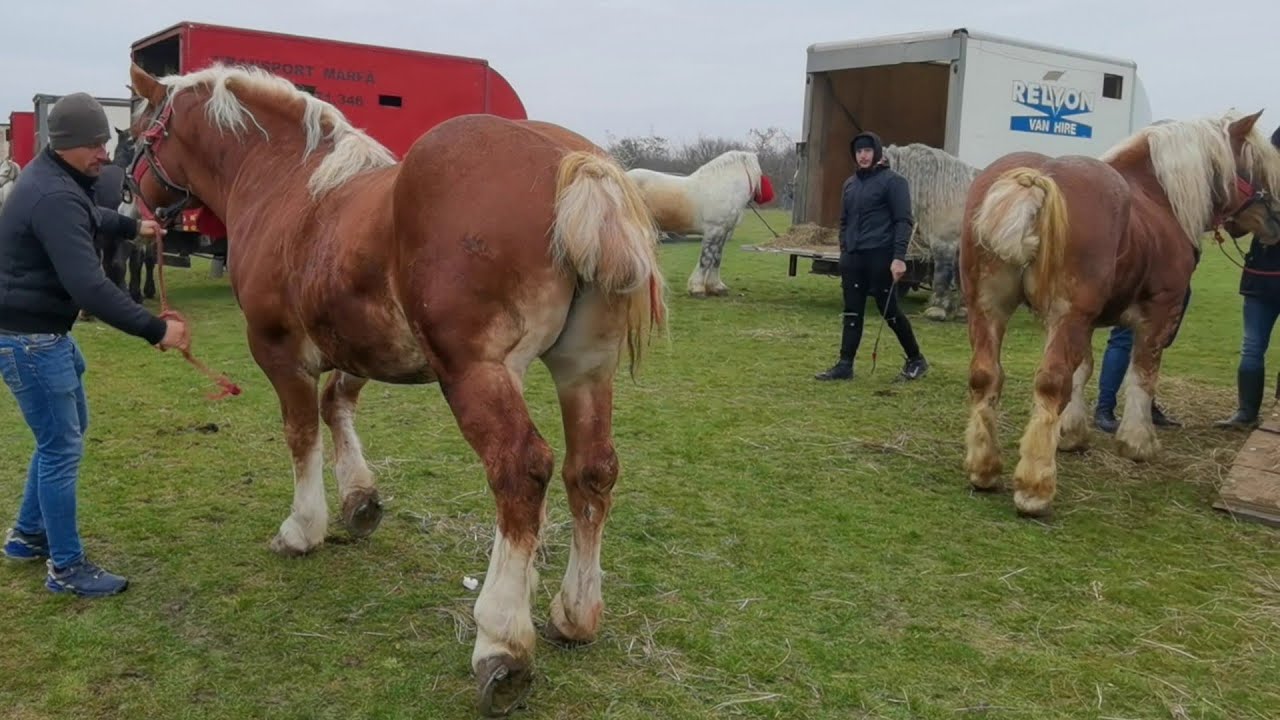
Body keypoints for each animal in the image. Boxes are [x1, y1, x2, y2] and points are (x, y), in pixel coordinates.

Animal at [125, 61, 666, 716]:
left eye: (134, 137)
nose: (131, 210)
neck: (286, 183)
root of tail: (570, 160)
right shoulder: (361, 346)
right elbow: (337, 406)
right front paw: (360, 500)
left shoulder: (279, 352)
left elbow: (301, 433)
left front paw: (302, 528)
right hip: (584, 369)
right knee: (592, 471)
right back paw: (575, 614)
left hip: (478, 373)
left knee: (521, 471)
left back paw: (502, 644)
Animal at [626, 149, 772, 297]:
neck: (721, 187)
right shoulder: (714, 230)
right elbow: (706, 258)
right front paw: (697, 288)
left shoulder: (722, 232)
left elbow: (716, 258)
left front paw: (717, 287)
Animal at [959, 109, 1280, 518]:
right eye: (1258, 167)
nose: (1275, 222)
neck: (1157, 197)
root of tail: (1037, 179)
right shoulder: (1159, 312)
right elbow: (1142, 374)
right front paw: (1138, 442)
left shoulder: (1081, 321)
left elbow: (1082, 371)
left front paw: (1071, 433)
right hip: (1063, 312)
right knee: (1050, 382)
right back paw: (1035, 488)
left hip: (988, 307)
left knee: (985, 377)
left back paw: (984, 469)